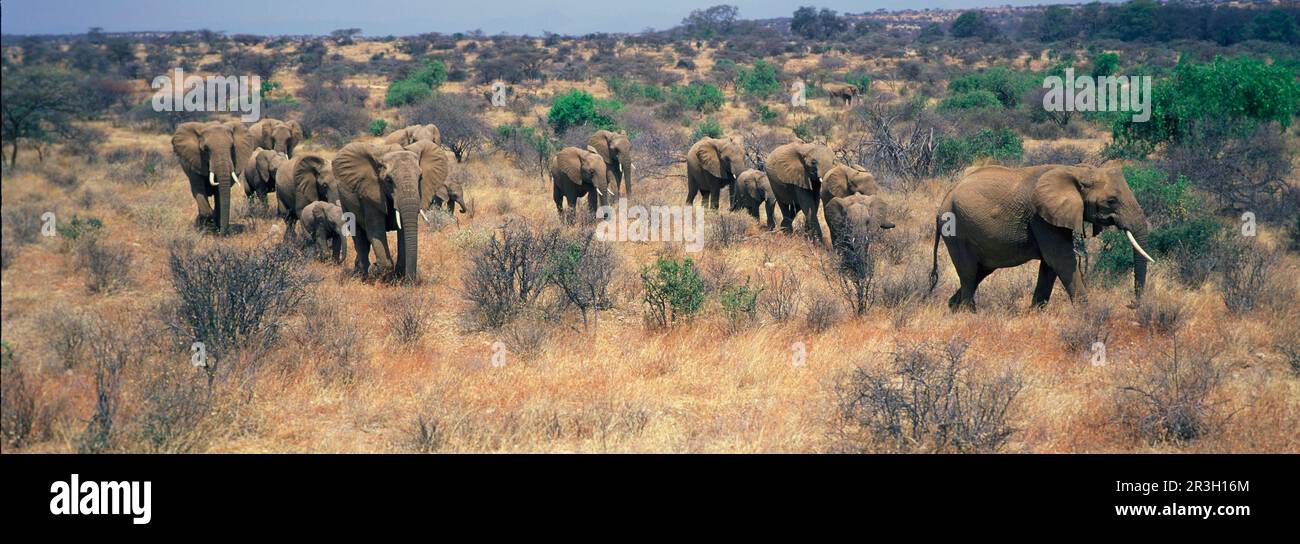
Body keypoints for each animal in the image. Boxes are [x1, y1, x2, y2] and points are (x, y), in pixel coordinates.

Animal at [332, 142, 425, 280]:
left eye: (420, 178)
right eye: (388, 180)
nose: (410, 281)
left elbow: (403, 232)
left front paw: (397, 277)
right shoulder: (370, 192)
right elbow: (376, 231)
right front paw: (376, 269)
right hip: (344, 201)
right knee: (358, 233)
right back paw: (364, 275)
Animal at [928, 163, 1154, 311]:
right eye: (1111, 201)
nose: (1131, 304)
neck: (1078, 170)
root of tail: (942, 204)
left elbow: (1049, 265)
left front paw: (1035, 314)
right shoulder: (1041, 217)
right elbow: (1060, 259)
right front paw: (1087, 315)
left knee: (979, 272)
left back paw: (953, 306)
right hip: (956, 230)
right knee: (968, 272)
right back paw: (969, 313)